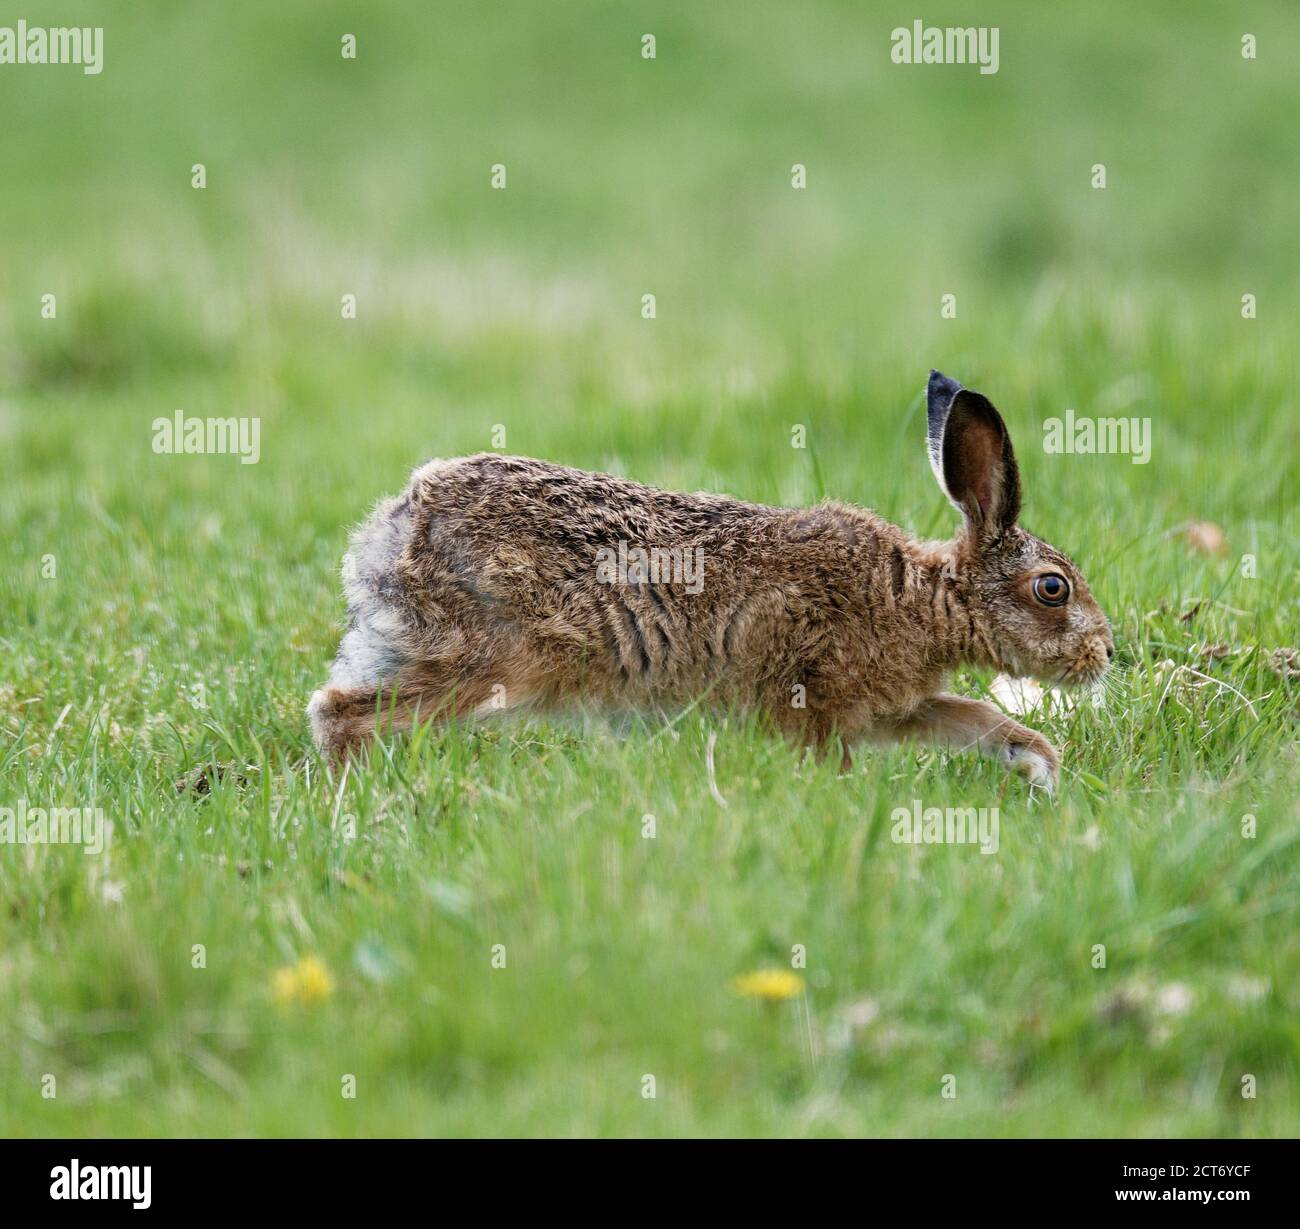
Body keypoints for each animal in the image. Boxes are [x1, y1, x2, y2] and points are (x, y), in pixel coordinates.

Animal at [309, 370, 1113, 792]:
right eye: (1053, 589)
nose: (1107, 654)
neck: (922, 599)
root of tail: (399, 524)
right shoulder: (813, 695)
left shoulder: (894, 708)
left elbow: (976, 717)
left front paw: (1041, 766)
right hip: (494, 661)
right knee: (343, 713)